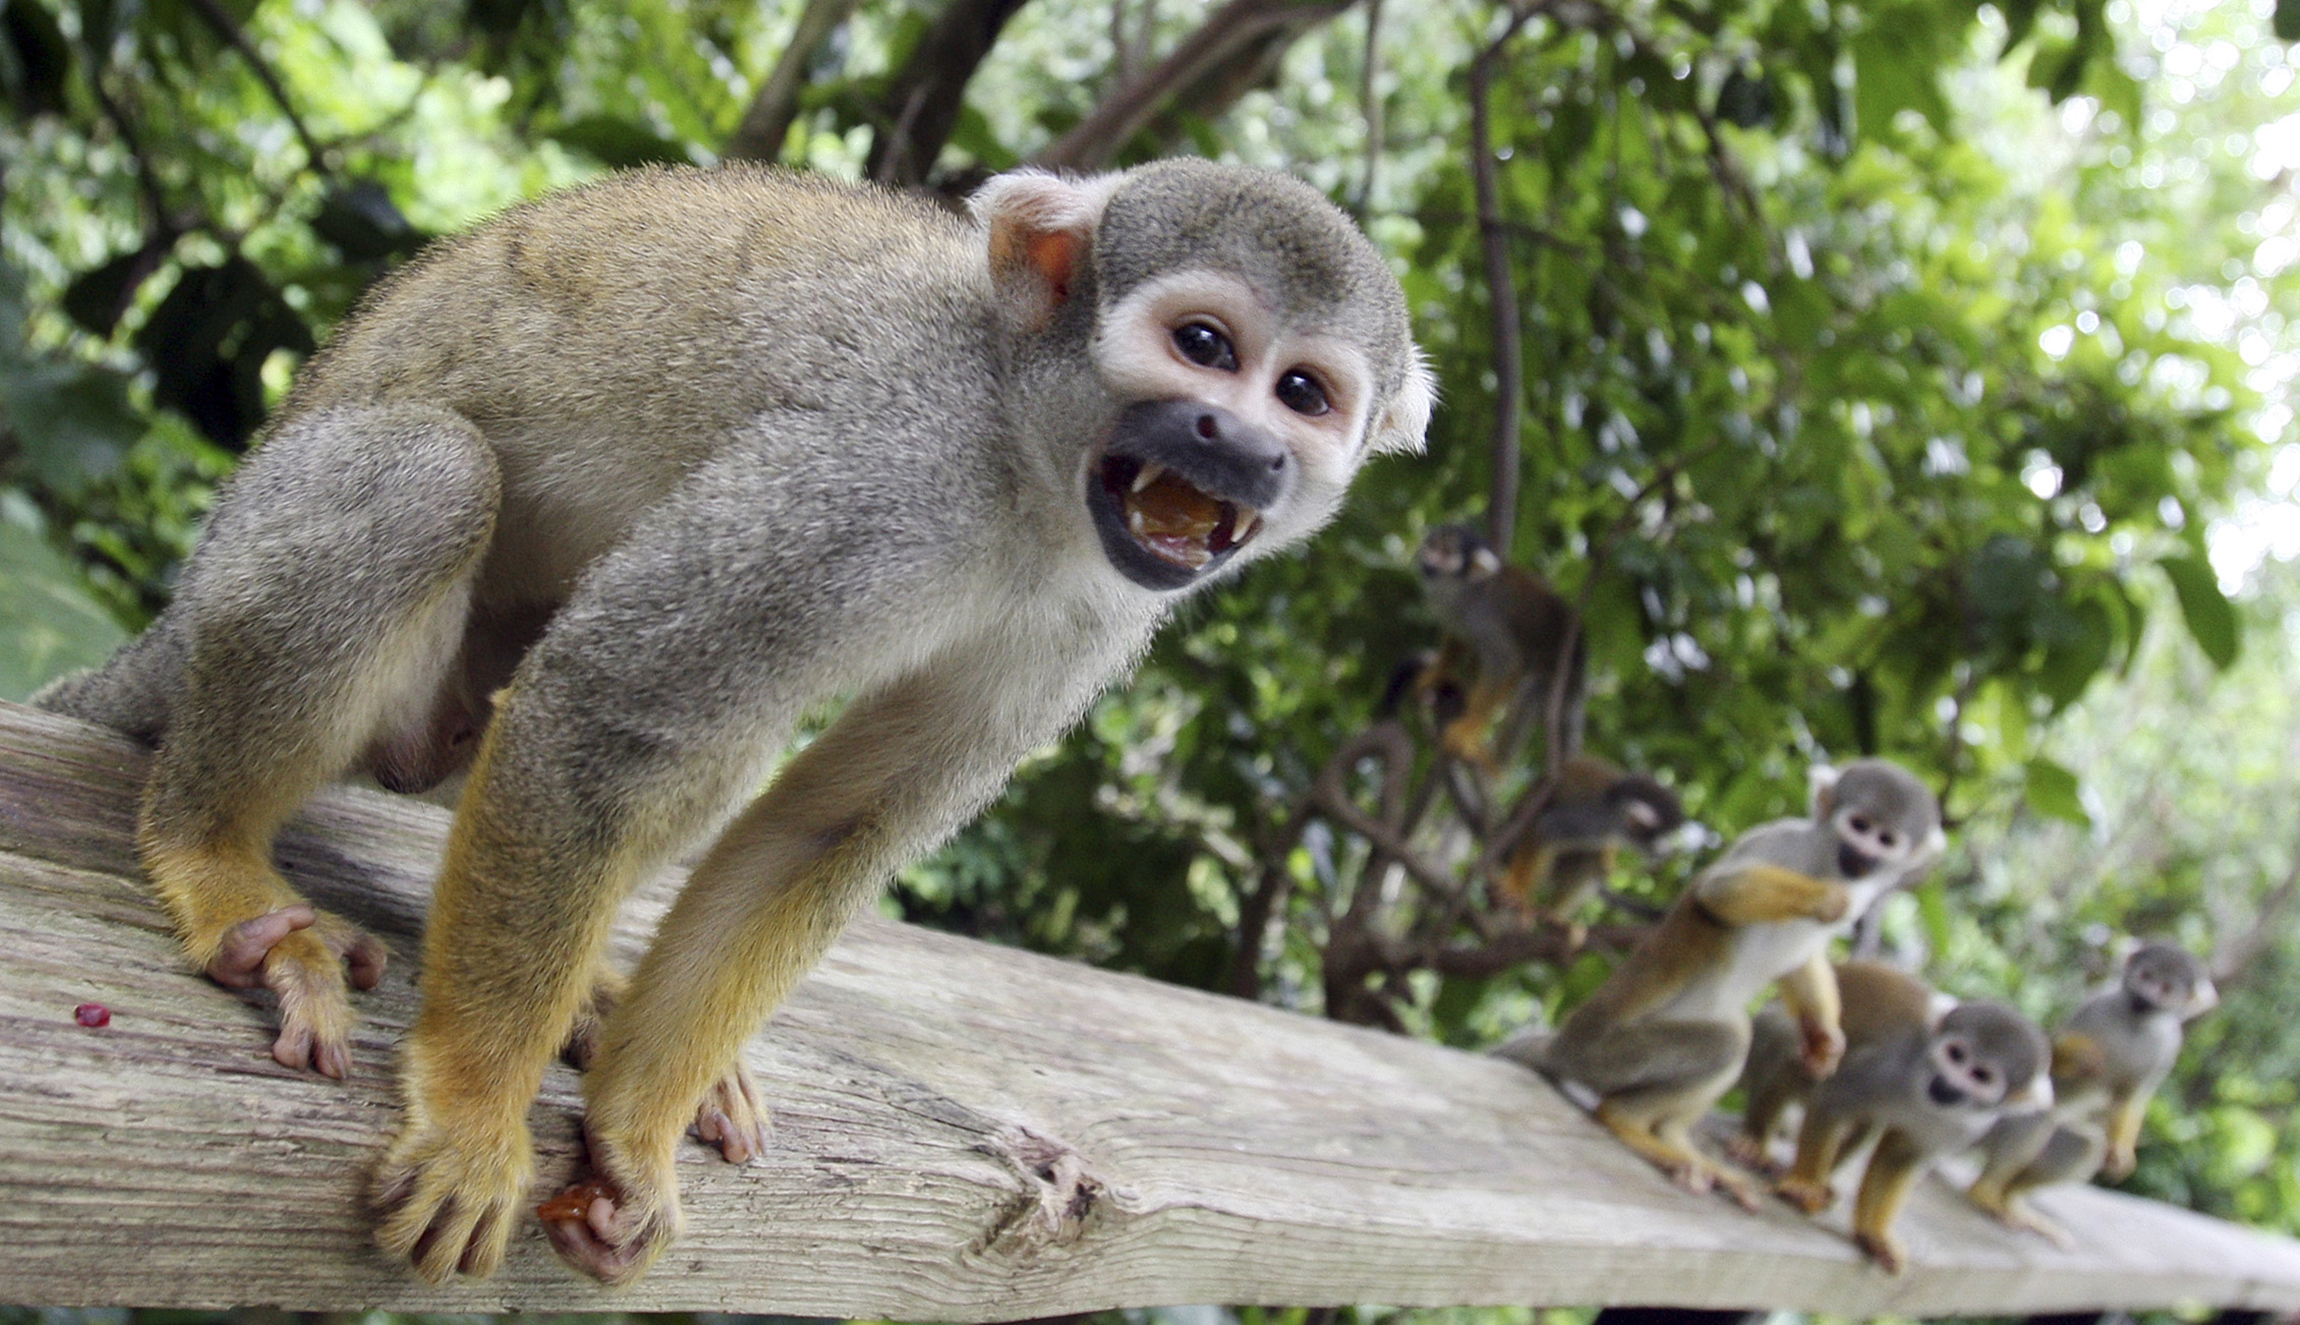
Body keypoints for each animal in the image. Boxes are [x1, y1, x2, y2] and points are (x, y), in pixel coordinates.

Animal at [33, 159, 1434, 1285]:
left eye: (1301, 393)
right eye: (1202, 345)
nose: (1236, 440)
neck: (1032, 474)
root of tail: (166, 627)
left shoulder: (1087, 617)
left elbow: (832, 824)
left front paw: (632, 1137)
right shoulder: (877, 469)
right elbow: (606, 705)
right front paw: (476, 1111)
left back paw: (590, 990)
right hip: (236, 582)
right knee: (432, 477)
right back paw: (217, 857)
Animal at [1411, 524, 1585, 772]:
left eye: (1447, 552)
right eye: (1433, 545)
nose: (1429, 557)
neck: (1466, 588)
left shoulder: (1484, 617)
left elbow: (1506, 662)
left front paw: (1467, 728)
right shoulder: (1456, 610)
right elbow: (1458, 636)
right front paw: (1436, 674)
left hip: (1564, 683)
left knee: (1531, 686)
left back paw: (1495, 765)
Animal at [1509, 758, 1943, 1208]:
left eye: (1886, 838)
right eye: (1859, 825)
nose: (1865, 854)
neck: (1830, 862)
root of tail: (1563, 1046)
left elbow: (1801, 961)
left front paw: (1823, 1035)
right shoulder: (1789, 845)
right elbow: (1720, 892)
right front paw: (1822, 898)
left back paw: (1675, 1143)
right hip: (1605, 1055)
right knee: (1729, 1041)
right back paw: (1627, 1122)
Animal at [1741, 961, 2050, 1275]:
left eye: (1980, 1075)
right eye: (1956, 1054)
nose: (1947, 1083)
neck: (1921, 1091)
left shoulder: (1966, 1126)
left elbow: (1901, 1154)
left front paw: (1874, 1235)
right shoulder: (1887, 1063)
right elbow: (1833, 1102)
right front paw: (1803, 1184)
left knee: (1867, 1123)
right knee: (1797, 1043)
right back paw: (1757, 1140)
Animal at [1965, 940, 2216, 1243]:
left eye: (2165, 988)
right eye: (2146, 976)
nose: (2144, 997)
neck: (2135, 1019)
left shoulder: (2168, 1044)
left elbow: (2130, 1099)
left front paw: (2120, 1150)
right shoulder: (2096, 1005)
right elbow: (2049, 1052)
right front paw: (2077, 1057)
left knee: (2087, 1145)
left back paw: (2010, 1202)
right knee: (2038, 1116)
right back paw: (1985, 1191)